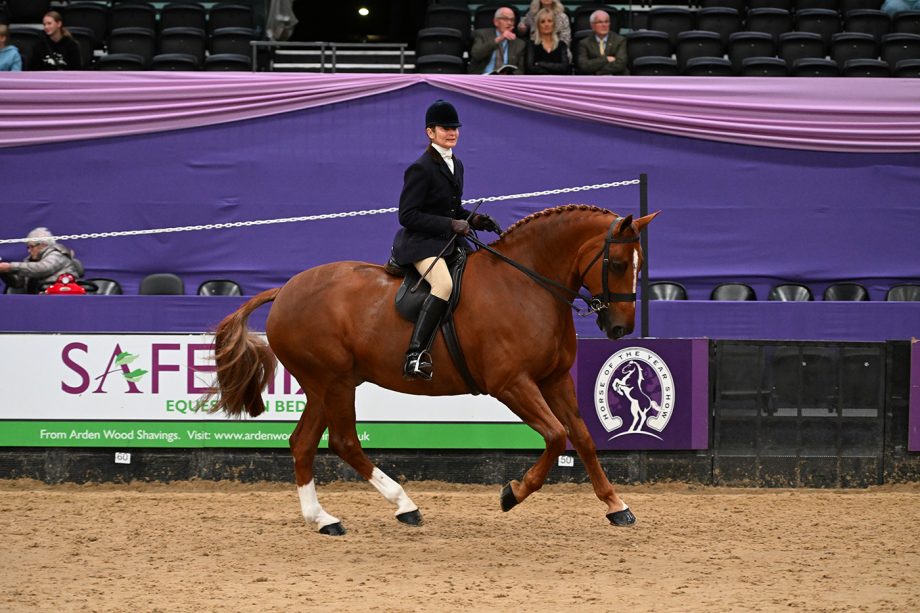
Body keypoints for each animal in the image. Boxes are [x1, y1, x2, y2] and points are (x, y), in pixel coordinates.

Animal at [208, 204, 658, 535]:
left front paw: (616, 505)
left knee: (303, 443)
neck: (527, 286)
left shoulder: (554, 378)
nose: (619, 329)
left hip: (326, 384)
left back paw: (323, 520)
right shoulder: (512, 384)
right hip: (332, 382)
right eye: (619, 263)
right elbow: (555, 435)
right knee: (344, 441)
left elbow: (582, 437)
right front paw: (513, 493)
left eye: (639, 265)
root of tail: (284, 289)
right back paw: (403, 505)